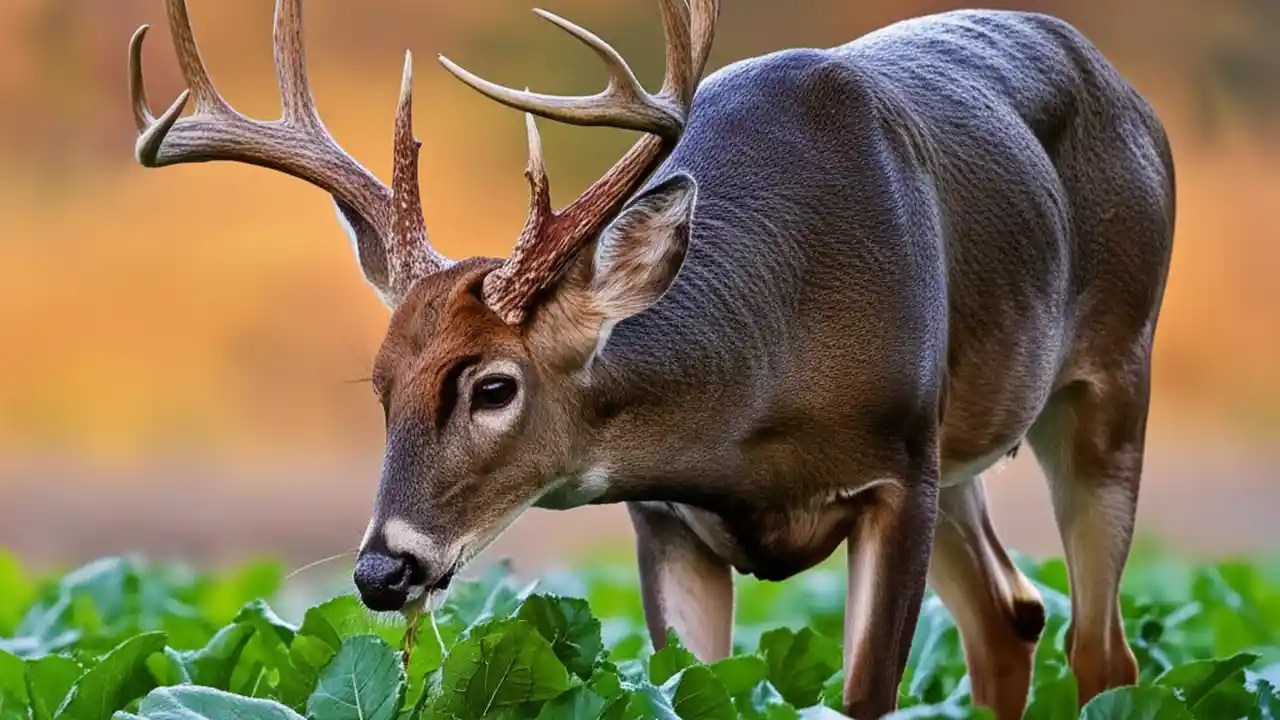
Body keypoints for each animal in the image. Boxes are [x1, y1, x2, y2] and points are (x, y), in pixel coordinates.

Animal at [127, 0, 1175, 716]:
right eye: (380, 389)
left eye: (493, 386)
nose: (385, 572)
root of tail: (1133, 97)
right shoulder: (666, 522)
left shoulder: (897, 474)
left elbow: (865, 696)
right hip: (961, 455)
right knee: (1011, 619)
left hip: (1111, 375)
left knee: (1103, 651)